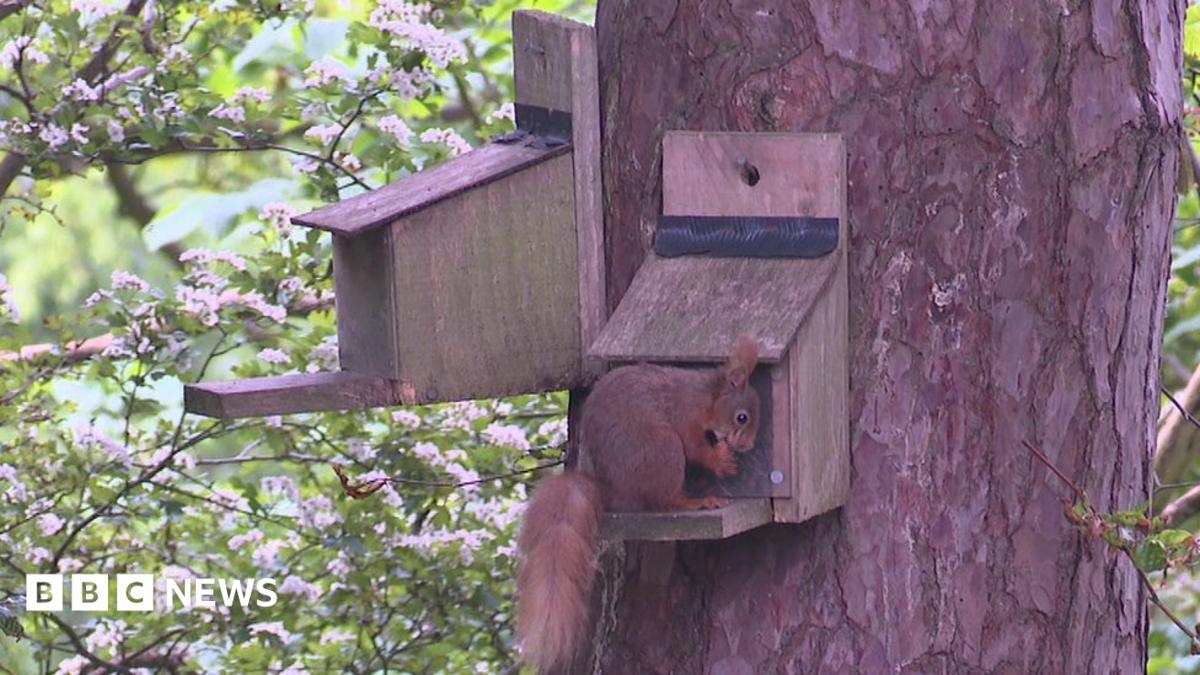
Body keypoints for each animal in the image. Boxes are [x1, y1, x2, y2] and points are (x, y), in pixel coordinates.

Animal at [515, 336, 760, 673]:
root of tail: (612, 491)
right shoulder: (685, 416)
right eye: (742, 417)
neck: (706, 397)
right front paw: (720, 461)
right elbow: (695, 446)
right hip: (662, 448)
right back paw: (696, 502)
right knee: (665, 500)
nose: (747, 446)